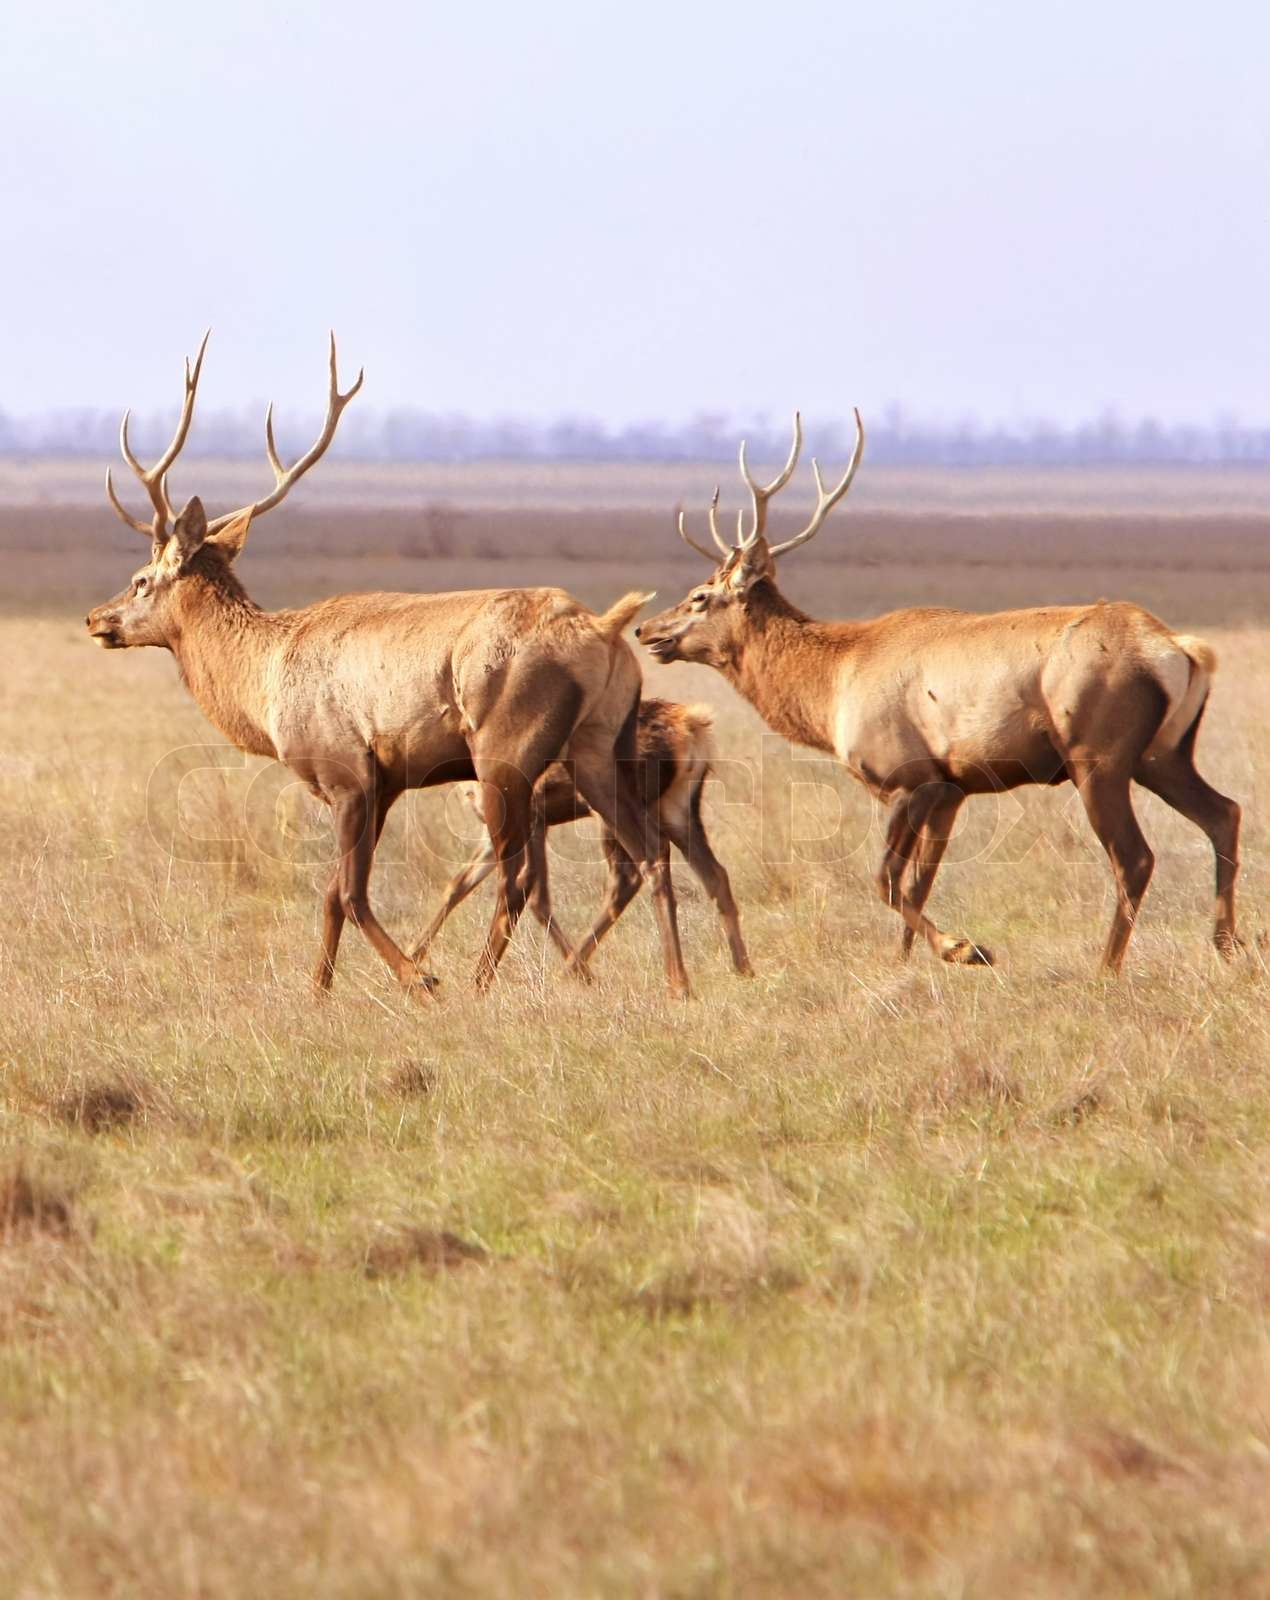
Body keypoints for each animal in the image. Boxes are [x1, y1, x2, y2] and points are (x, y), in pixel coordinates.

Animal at [86, 334, 691, 998]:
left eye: (141, 580)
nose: (95, 618)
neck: (265, 690)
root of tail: (605, 628)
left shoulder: (347, 771)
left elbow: (350, 893)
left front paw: (416, 977)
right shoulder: (387, 781)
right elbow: (331, 894)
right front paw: (318, 992)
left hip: (506, 749)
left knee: (519, 880)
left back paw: (477, 986)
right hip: (600, 744)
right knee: (651, 855)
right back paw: (678, 984)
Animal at [410, 697, 753, 977]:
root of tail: (692, 725)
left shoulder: (533, 817)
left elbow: (536, 896)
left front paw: (582, 976)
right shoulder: (494, 832)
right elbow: (457, 886)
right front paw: (413, 957)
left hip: (617, 811)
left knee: (631, 876)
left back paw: (575, 968)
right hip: (678, 808)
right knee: (714, 873)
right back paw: (743, 968)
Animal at [635, 411, 1242, 975]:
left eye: (700, 596)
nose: (646, 630)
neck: (833, 688)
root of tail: (1180, 650)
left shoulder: (910, 776)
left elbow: (885, 881)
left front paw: (965, 948)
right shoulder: (953, 789)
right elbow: (918, 884)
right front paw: (906, 964)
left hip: (1099, 755)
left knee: (1135, 857)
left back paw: (1107, 968)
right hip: (1162, 754)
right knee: (1224, 813)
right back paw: (1226, 945)